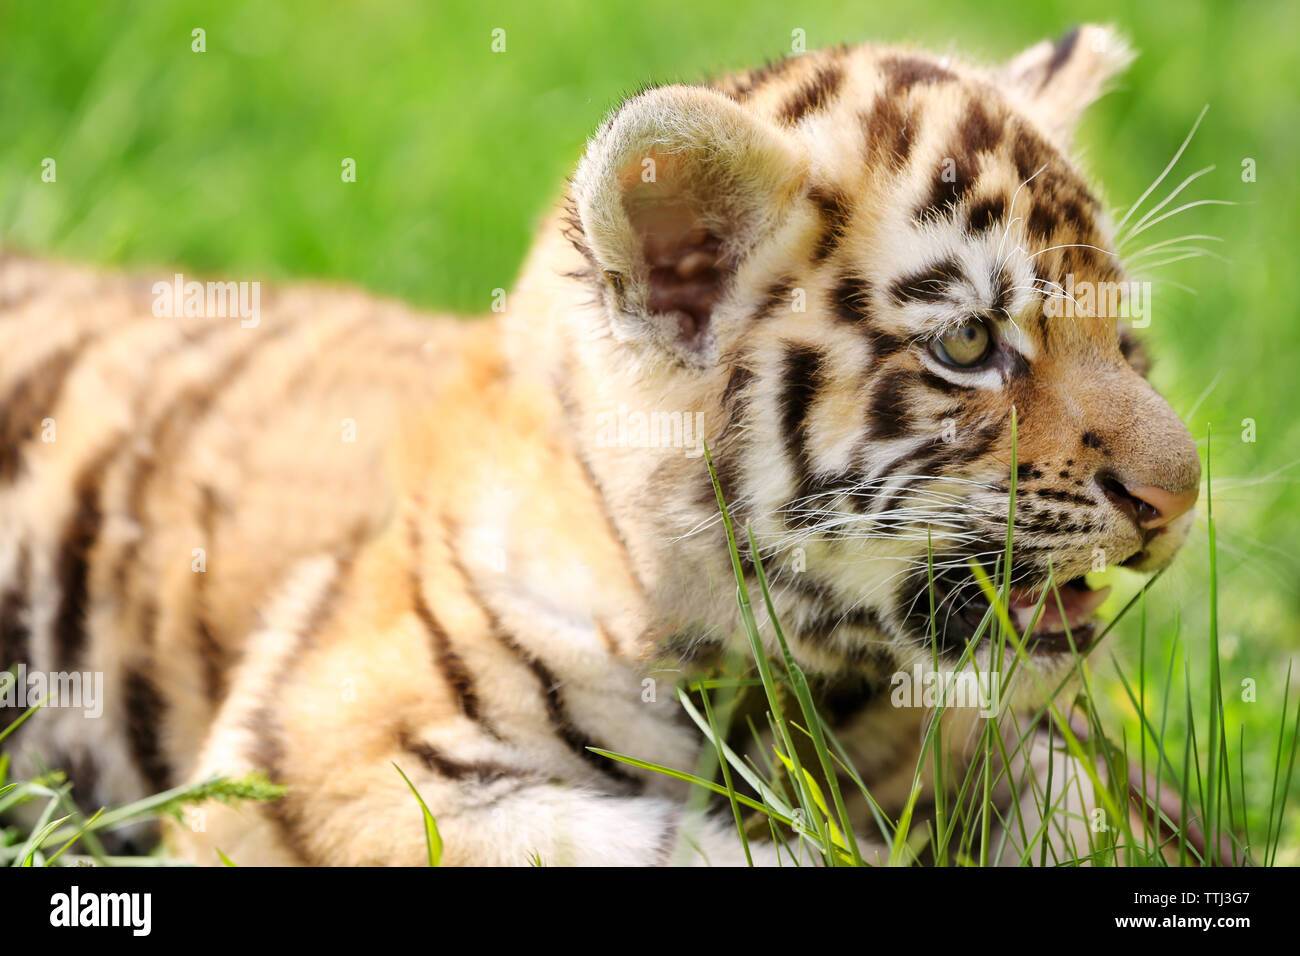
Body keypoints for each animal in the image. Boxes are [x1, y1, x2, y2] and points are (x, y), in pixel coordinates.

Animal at [0, 23, 1204, 866]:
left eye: (1125, 336)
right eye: (968, 343)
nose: (1180, 497)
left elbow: (1097, 813)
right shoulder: (322, 768)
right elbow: (683, 848)